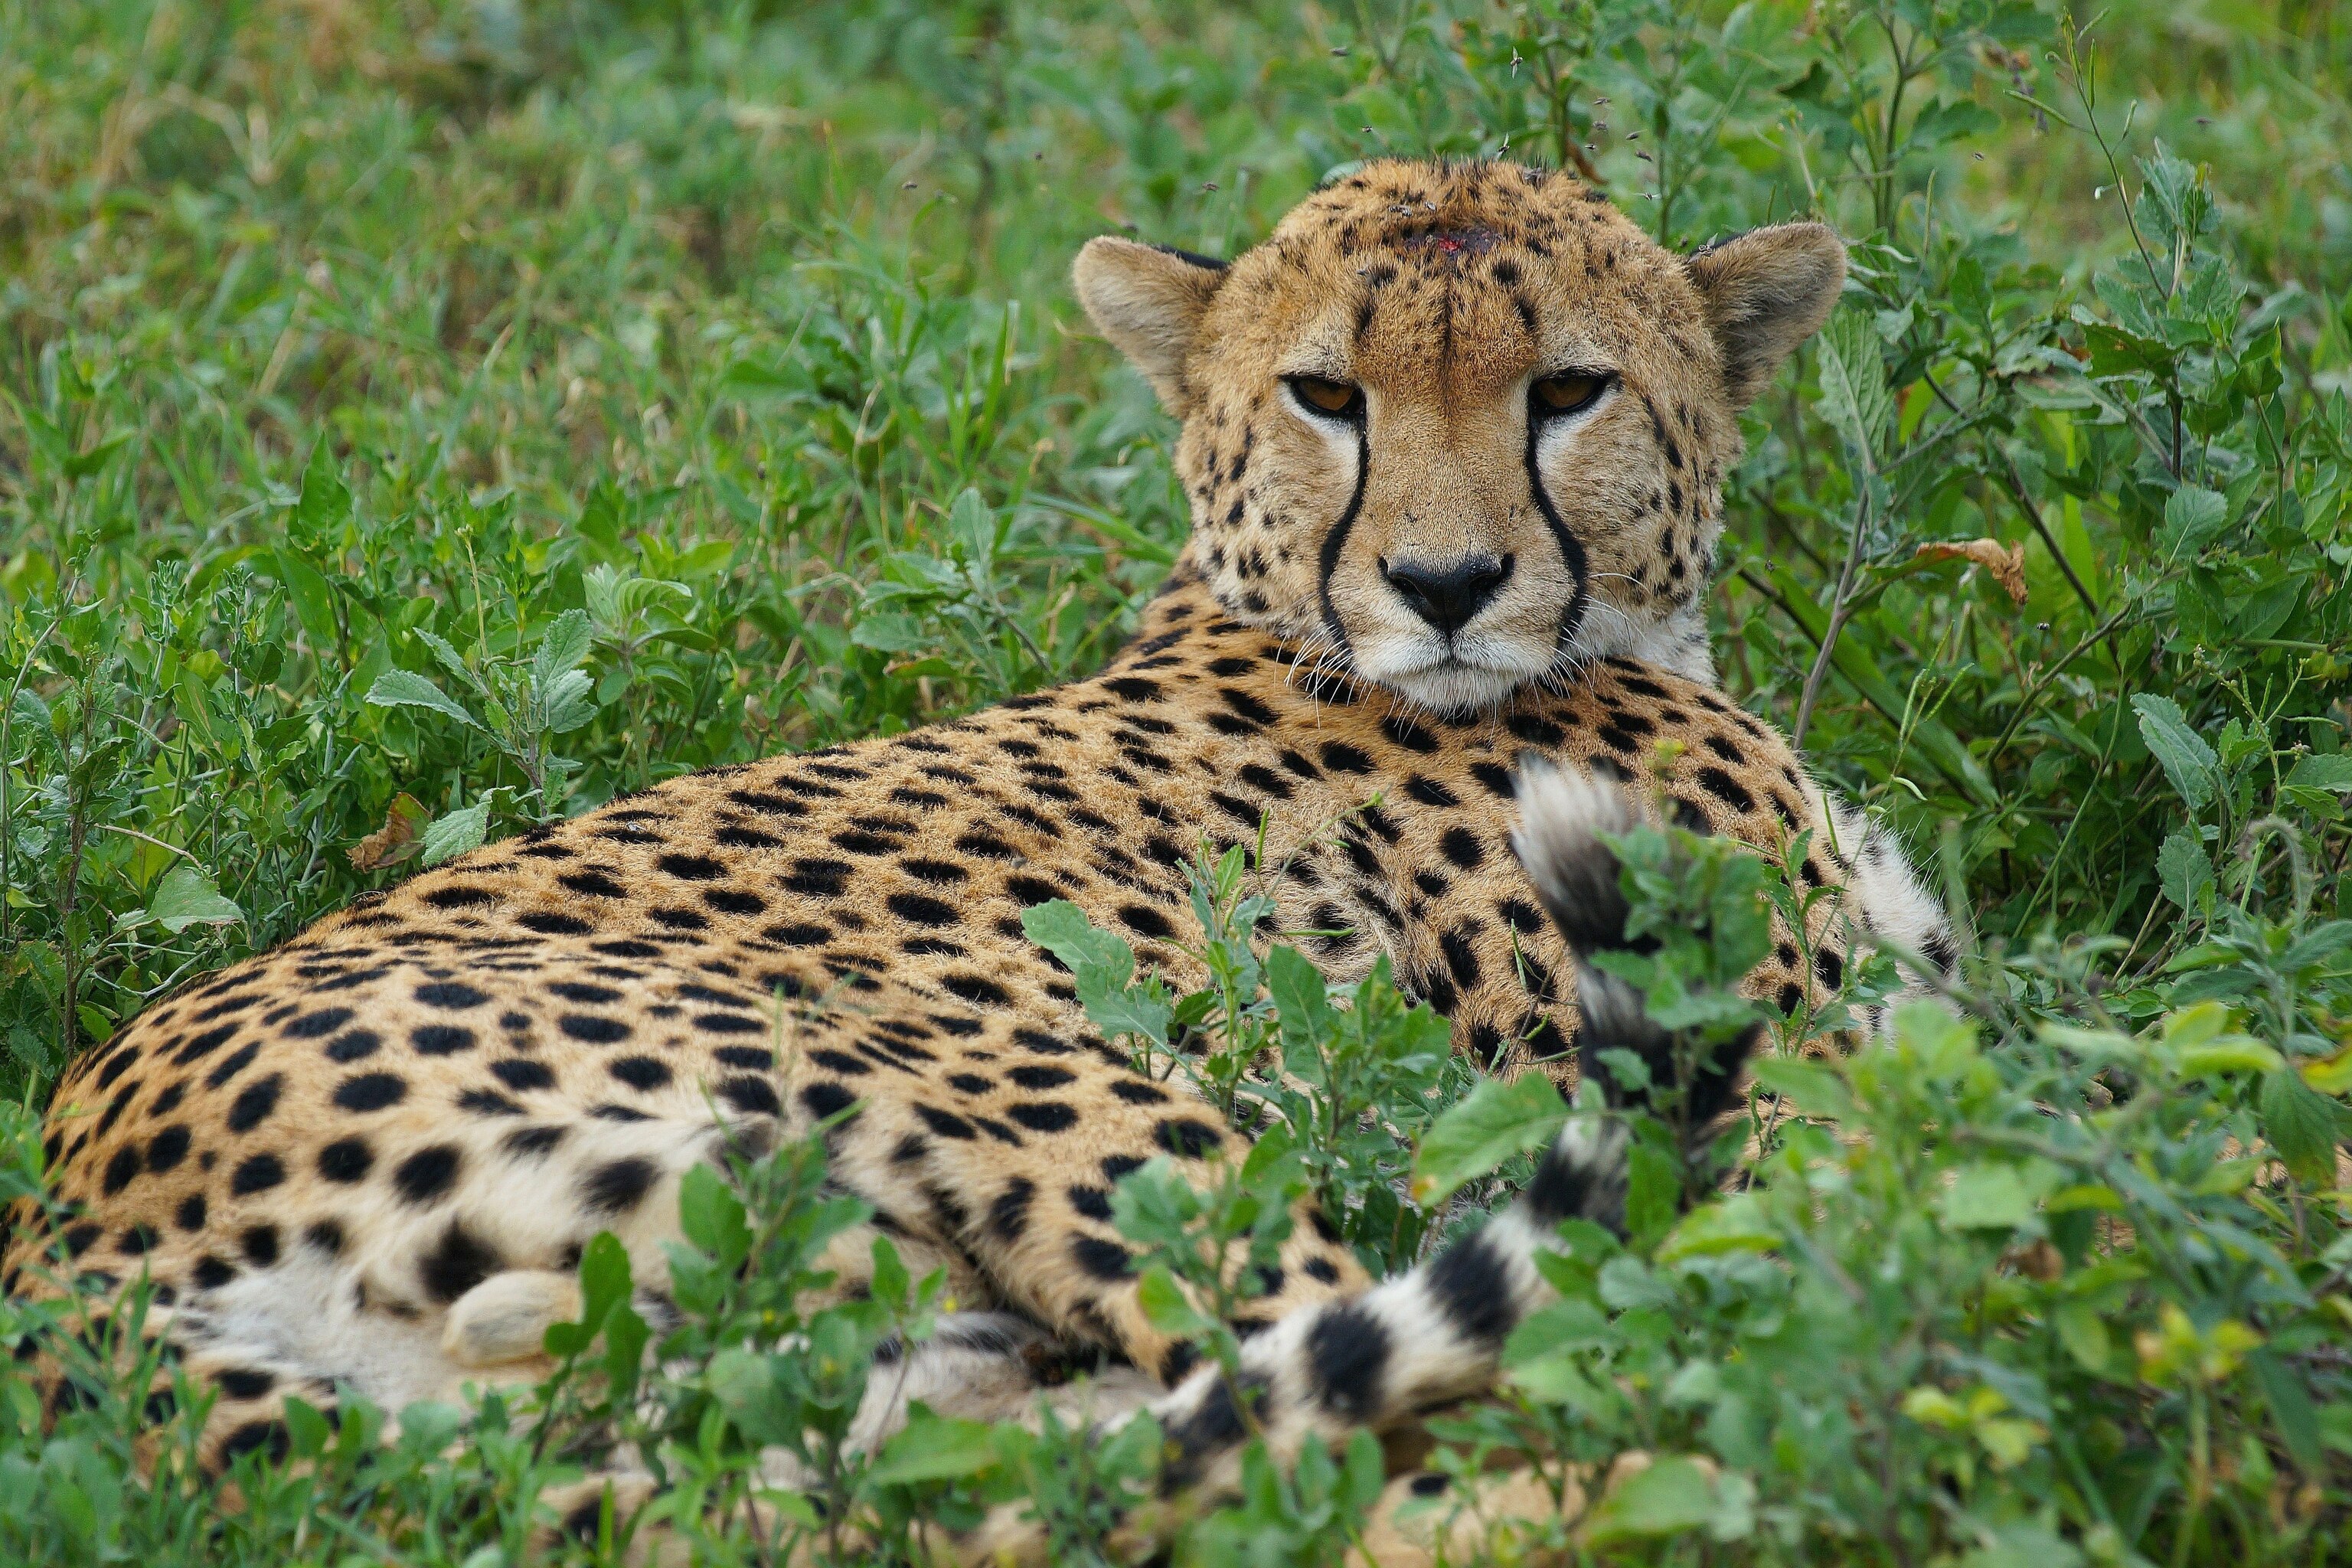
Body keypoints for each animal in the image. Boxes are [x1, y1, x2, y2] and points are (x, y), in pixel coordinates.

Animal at [5, 157, 1951, 1555]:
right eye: (1326, 394)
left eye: (1569, 391)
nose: (1446, 583)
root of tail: (62, 1225)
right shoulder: (1763, 1077)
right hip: (1059, 1097)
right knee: (1286, 1448)